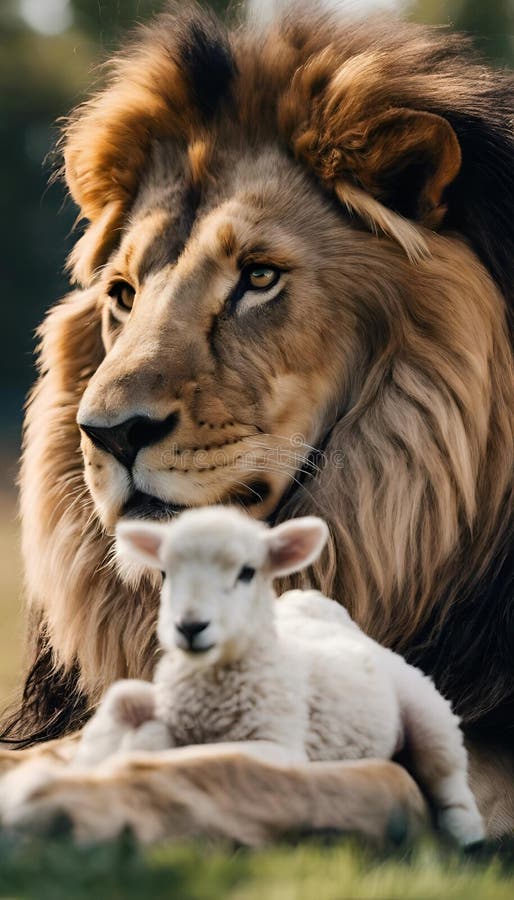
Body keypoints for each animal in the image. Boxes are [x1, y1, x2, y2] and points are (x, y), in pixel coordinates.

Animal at [73, 506, 484, 846]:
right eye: (165, 572)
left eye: (246, 572)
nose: (190, 626)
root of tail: (334, 615)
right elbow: (123, 697)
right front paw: (92, 759)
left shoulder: (278, 746)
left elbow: (193, 753)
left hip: (427, 710)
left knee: (446, 771)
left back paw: (465, 831)